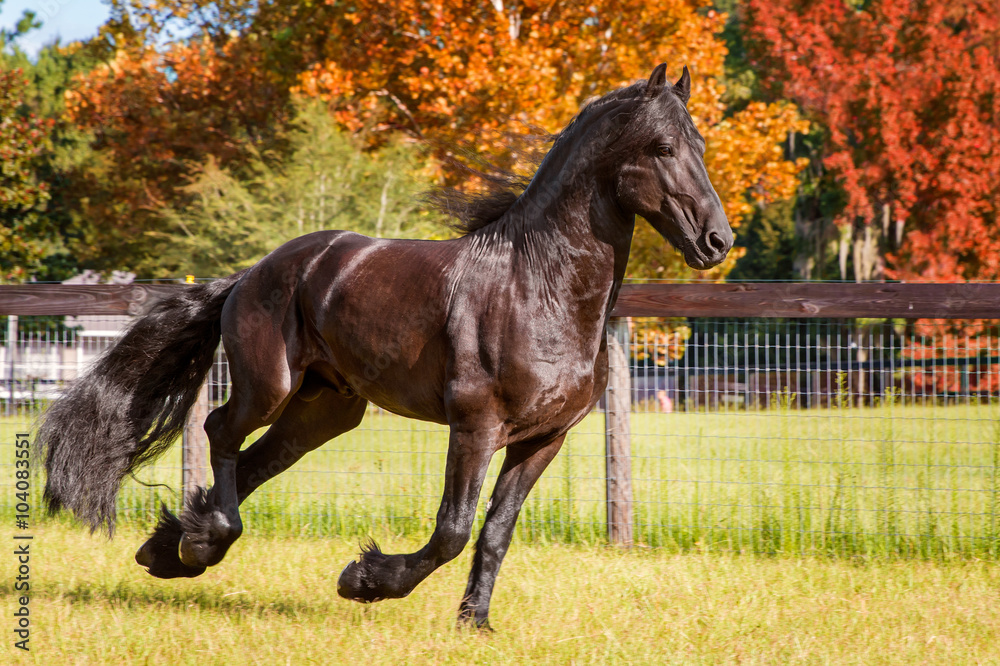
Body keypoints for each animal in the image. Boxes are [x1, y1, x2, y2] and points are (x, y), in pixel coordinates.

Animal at [37, 63, 732, 629]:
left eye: (699, 144)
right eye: (663, 147)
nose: (717, 241)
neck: (538, 286)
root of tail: (251, 274)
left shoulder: (543, 440)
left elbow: (496, 534)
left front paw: (475, 624)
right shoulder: (476, 425)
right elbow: (453, 530)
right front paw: (364, 579)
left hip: (326, 410)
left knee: (258, 460)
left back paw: (169, 550)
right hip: (269, 386)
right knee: (220, 432)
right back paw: (202, 543)